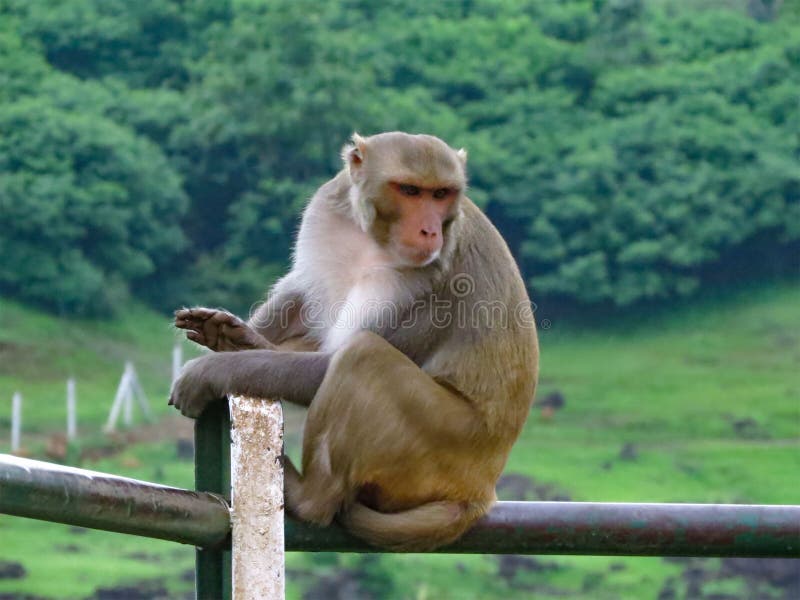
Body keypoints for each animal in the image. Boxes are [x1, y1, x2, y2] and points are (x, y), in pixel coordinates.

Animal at [171, 131, 539, 551]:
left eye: (441, 194)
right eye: (410, 190)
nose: (430, 231)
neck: (371, 236)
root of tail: (480, 491)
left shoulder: (432, 280)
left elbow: (329, 363)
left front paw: (209, 370)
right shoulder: (327, 212)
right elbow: (306, 296)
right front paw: (233, 335)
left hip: (445, 443)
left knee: (363, 357)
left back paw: (307, 495)